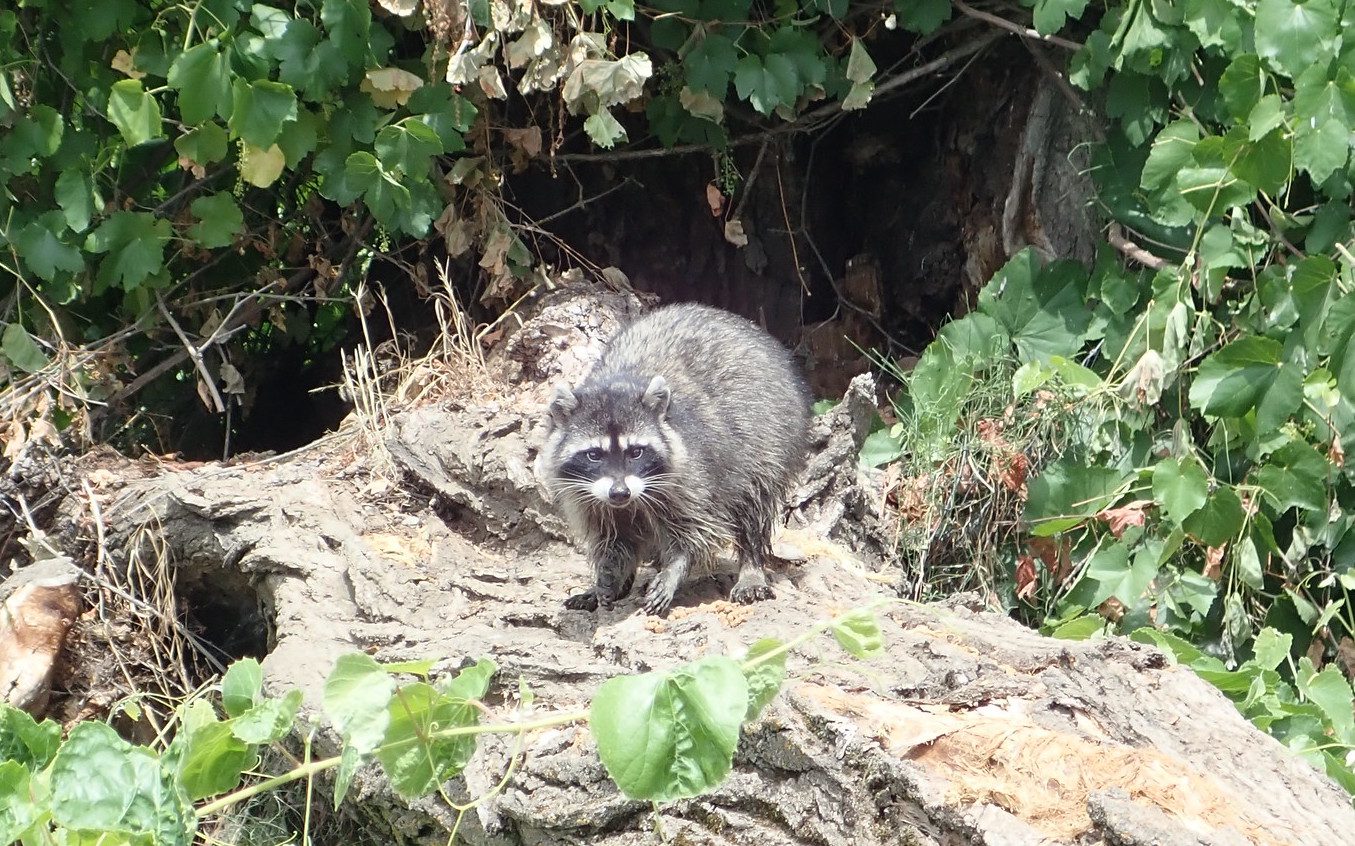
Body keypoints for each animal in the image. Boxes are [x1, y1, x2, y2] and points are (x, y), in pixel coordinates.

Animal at [533, 302, 812, 615]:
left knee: (754, 502)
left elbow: (699, 530)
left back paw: (751, 564)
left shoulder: (693, 477)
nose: (620, 493)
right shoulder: (586, 497)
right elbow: (611, 538)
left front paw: (674, 568)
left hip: (771, 438)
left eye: (636, 452)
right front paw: (609, 574)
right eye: (594, 455)